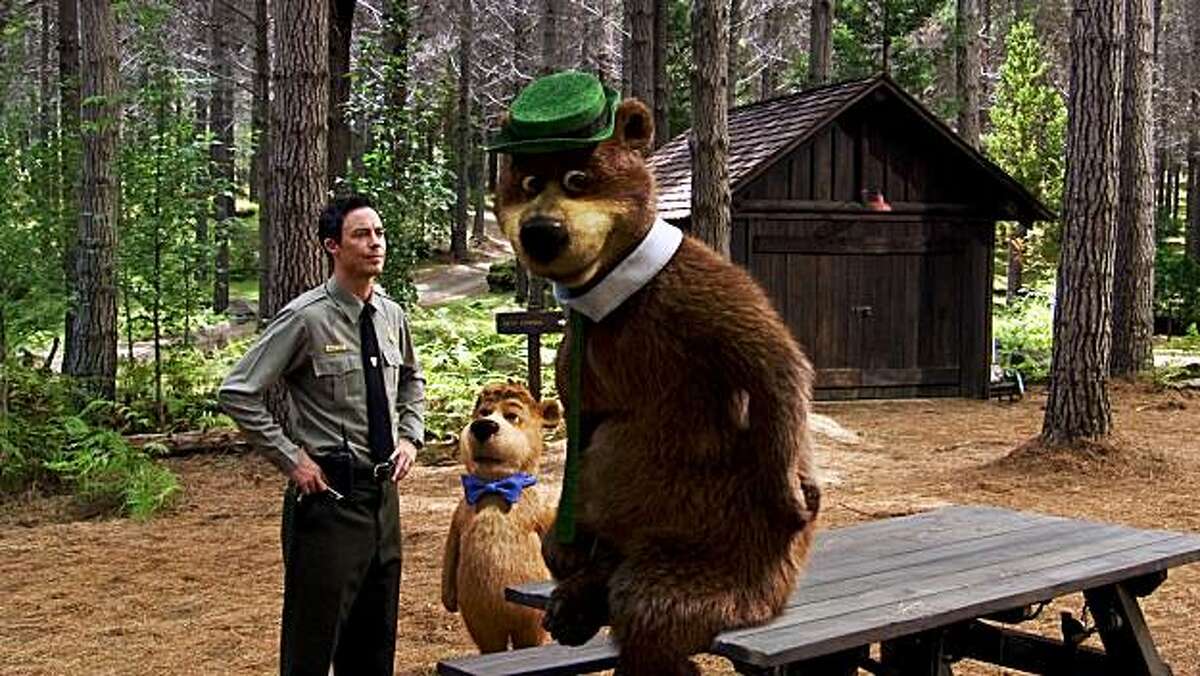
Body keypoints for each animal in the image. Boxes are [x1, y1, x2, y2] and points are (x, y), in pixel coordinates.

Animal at [441, 382, 563, 653]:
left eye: (512, 416)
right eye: (484, 412)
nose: (483, 426)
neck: (494, 487)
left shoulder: (543, 511)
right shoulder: (459, 513)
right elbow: (452, 547)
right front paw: (447, 600)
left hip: (528, 622)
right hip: (480, 621)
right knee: (490, 645)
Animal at [491, 92, 822, 674]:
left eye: (578, 178)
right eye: (527, 183)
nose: (541, 231)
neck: (611, 298)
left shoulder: (696, 294)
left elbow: (776, 364)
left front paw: (793, 493)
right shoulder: (578, 348)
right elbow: (583, 423)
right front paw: (564, 548)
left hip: (719, 546)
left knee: (655, 605)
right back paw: (574, 600)